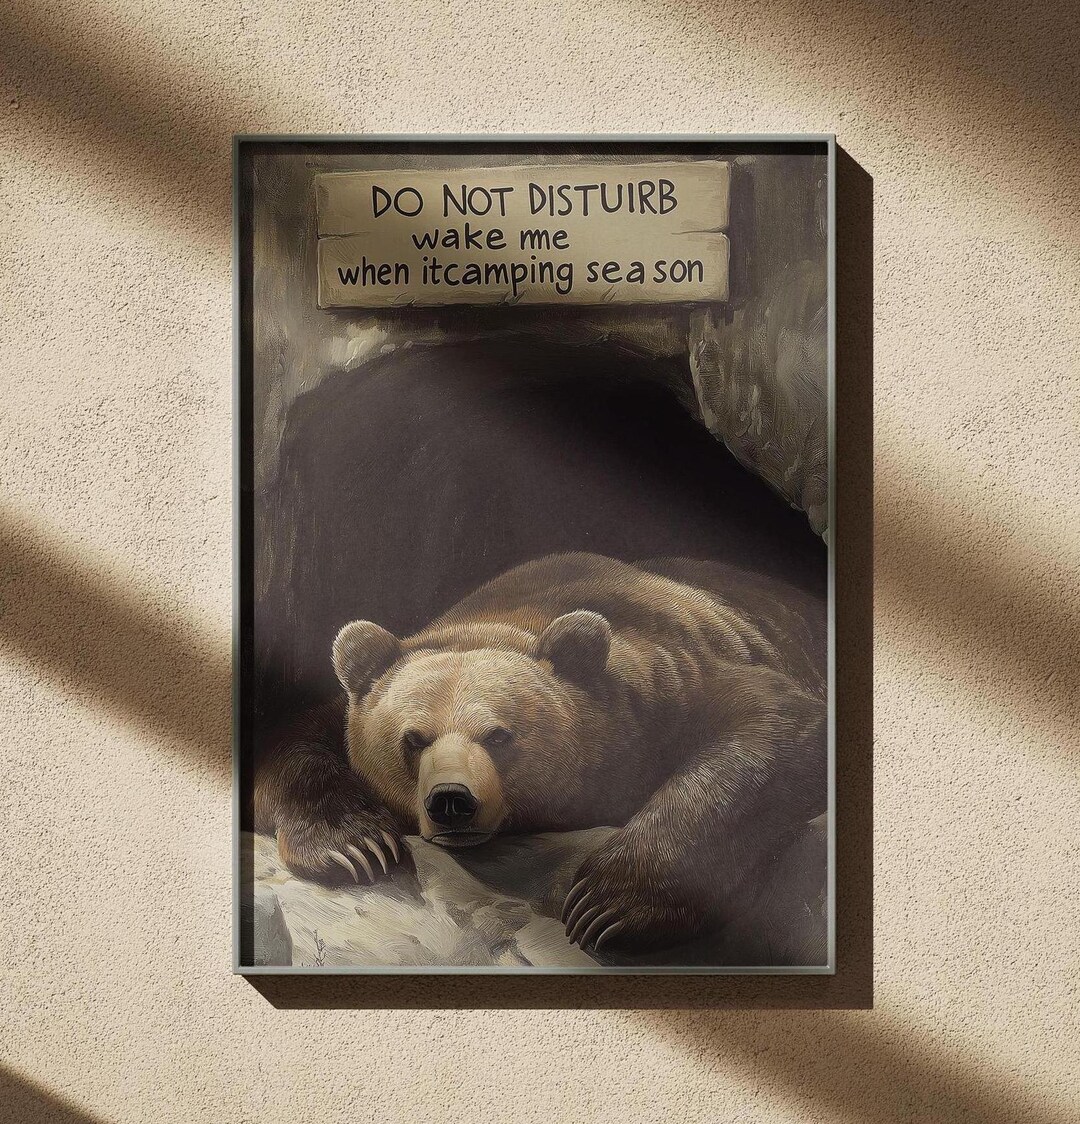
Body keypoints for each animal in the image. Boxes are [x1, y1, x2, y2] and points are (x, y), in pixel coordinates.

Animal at [253, 552, 826, 953]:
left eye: (498, 735)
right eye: (413, 739)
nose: (451, 800)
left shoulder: (674, 684)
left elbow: (771, 720)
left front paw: (606, 905)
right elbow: (297, 743)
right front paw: (353, 846)